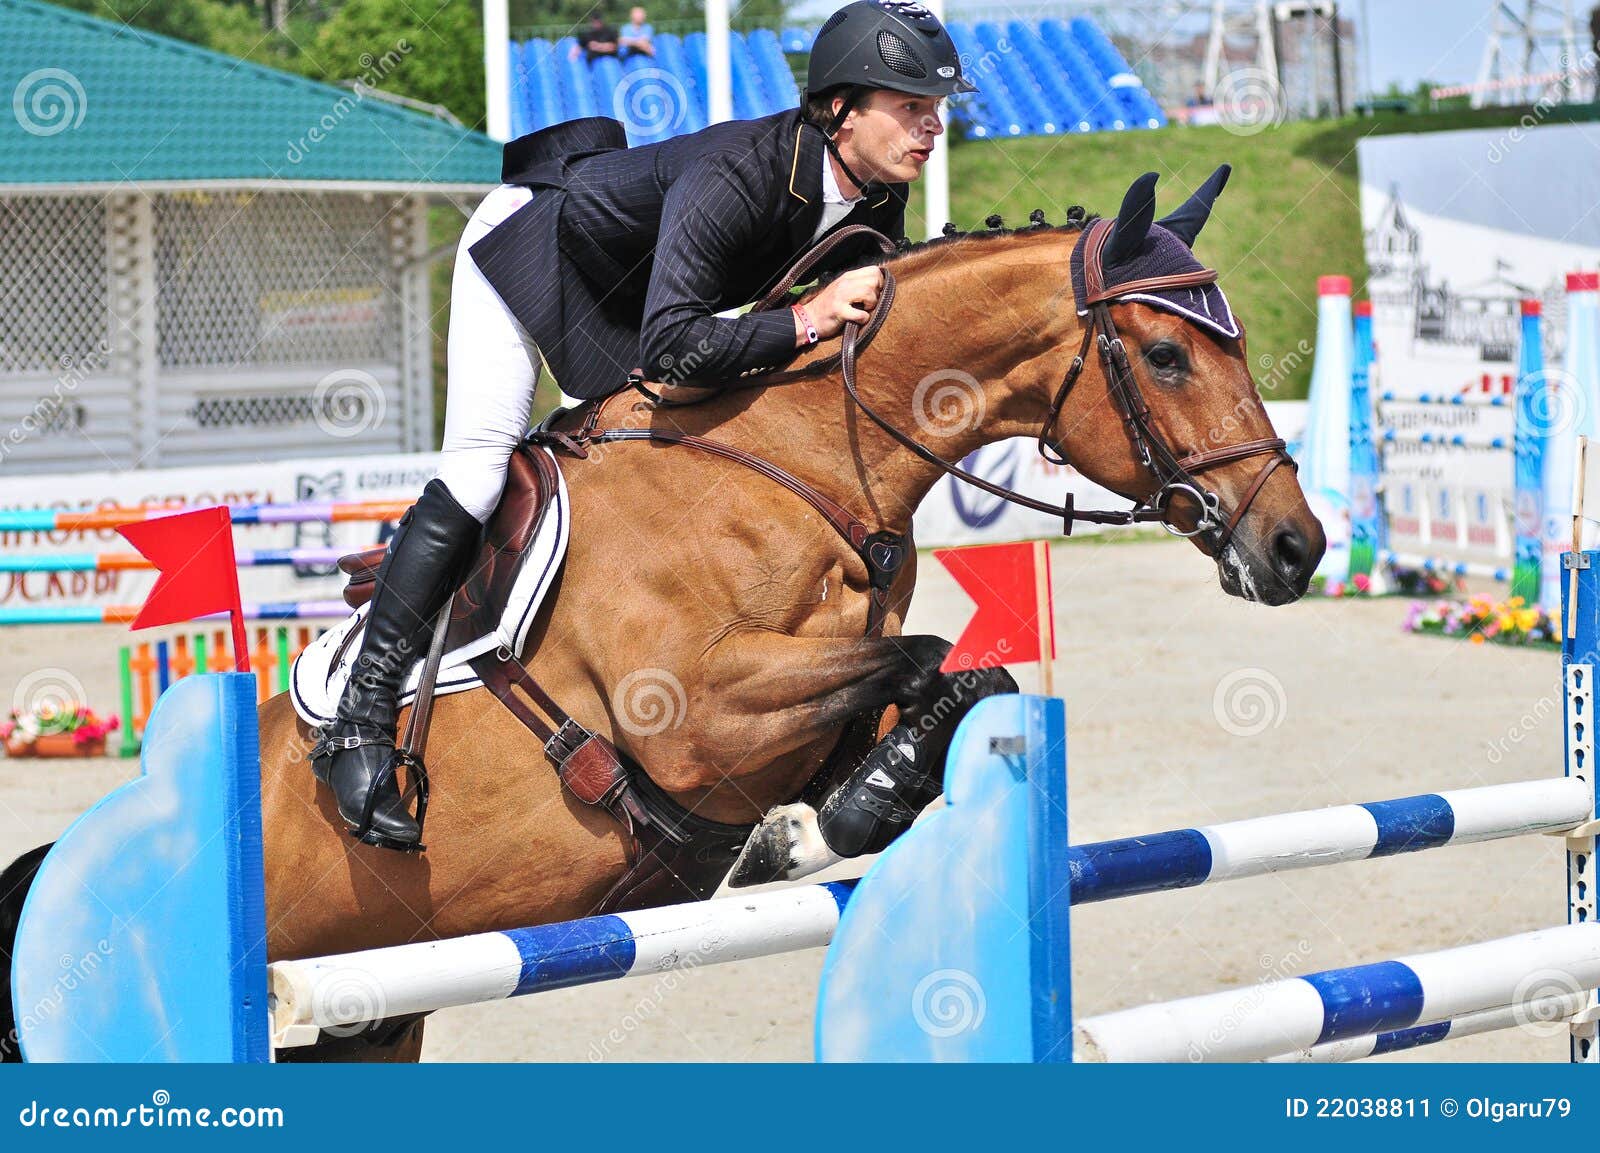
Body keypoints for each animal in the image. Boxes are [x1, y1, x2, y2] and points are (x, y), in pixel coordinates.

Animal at [1, 169, 1323, 1062]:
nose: (1295, 544)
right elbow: (920, 655)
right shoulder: (691, 718)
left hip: (373, 1016)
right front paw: (813, 827)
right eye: (1164, 354)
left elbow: (962, 680)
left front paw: (836, 815)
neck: (803, 461)